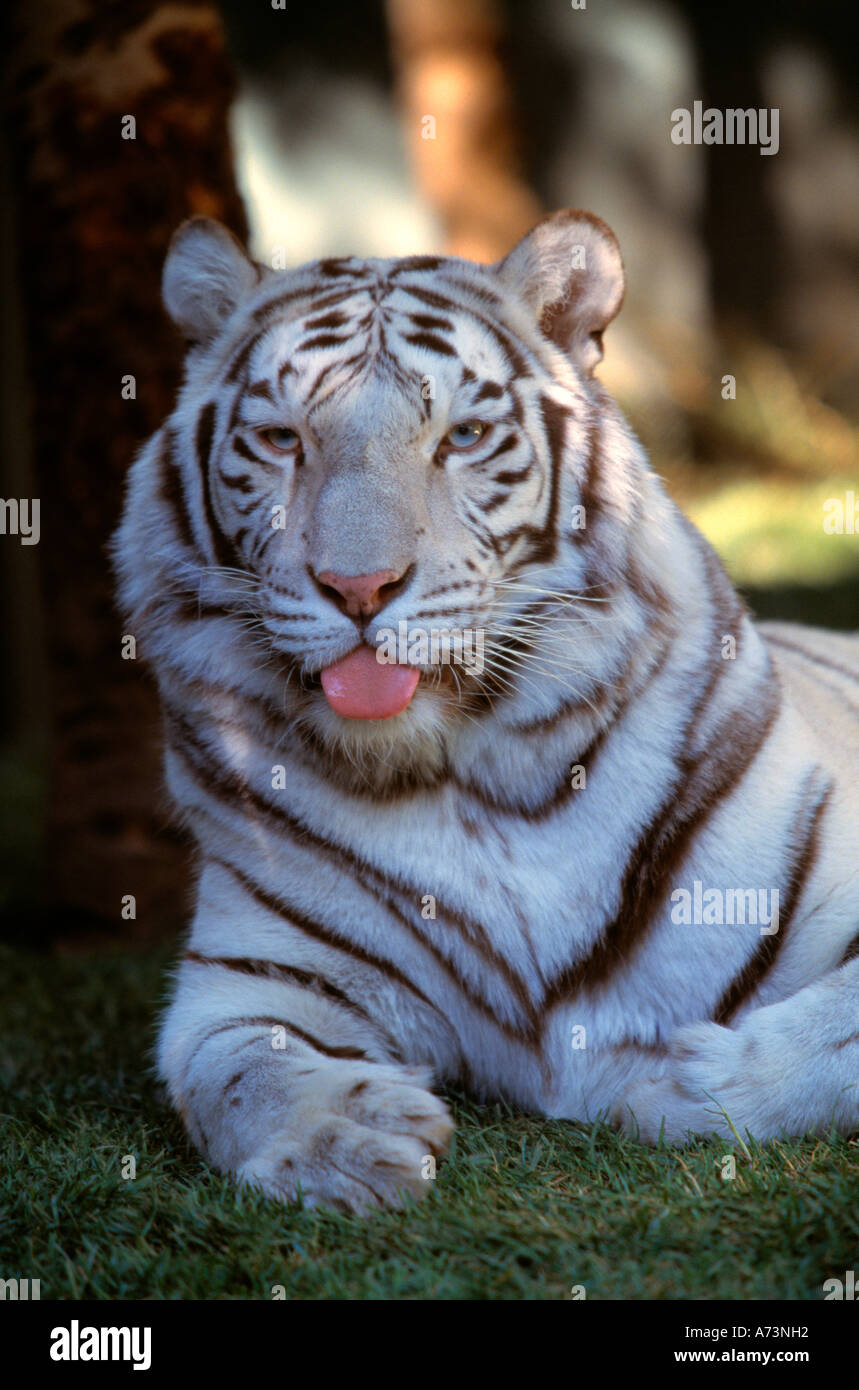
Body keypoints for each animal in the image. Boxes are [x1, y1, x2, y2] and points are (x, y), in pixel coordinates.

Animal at [113, 209, 859, 1214]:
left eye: (461, 436)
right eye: (280, 440)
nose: (358, 587)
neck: (478, 780)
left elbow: (839, 1024)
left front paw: (686, 1087)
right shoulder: (250, 978)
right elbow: (235, 1072)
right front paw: (350, 1141)